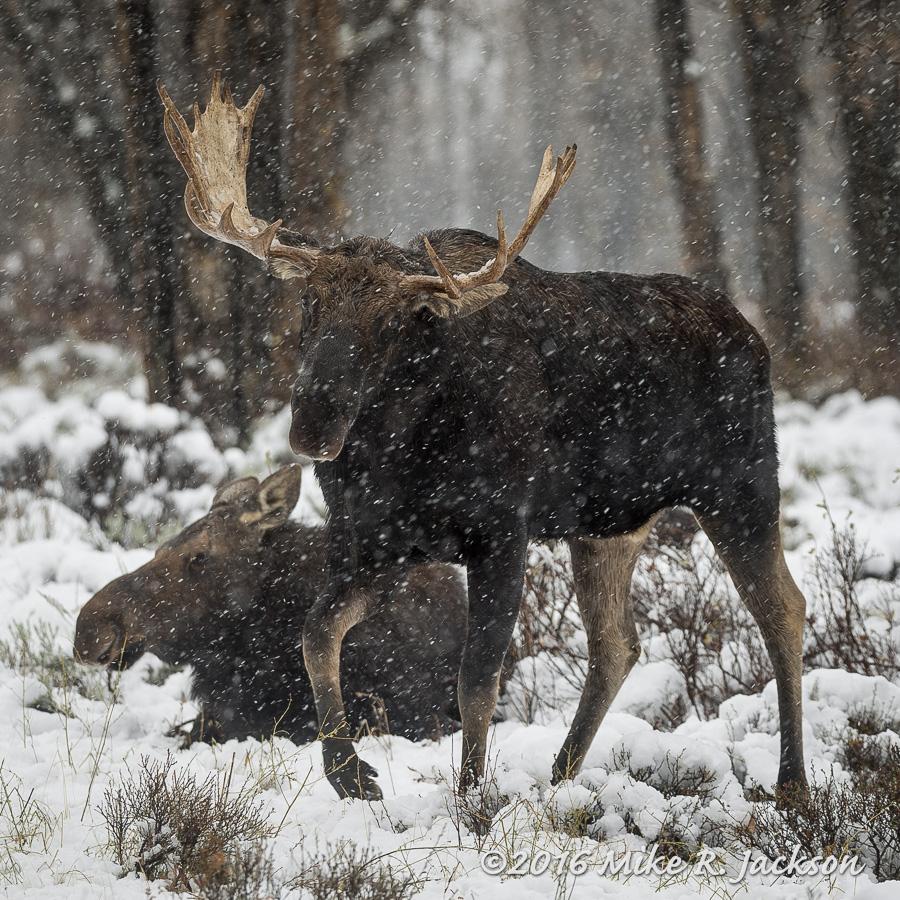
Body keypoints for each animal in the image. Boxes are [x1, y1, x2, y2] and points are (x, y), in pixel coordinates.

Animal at [159, 74, 808, 802]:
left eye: (393, 322)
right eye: (311, 305)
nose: (313, 426)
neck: (397, 455)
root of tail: (755, 337)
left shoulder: (502, 532)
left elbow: (477, 678)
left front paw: (471, 796)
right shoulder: (373, 538)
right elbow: (317, 634)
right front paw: (350, 772)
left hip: (740, 485)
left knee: (784, 610)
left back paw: (793, 783)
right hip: (607, 526)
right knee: (618, 643)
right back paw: (561, 771)